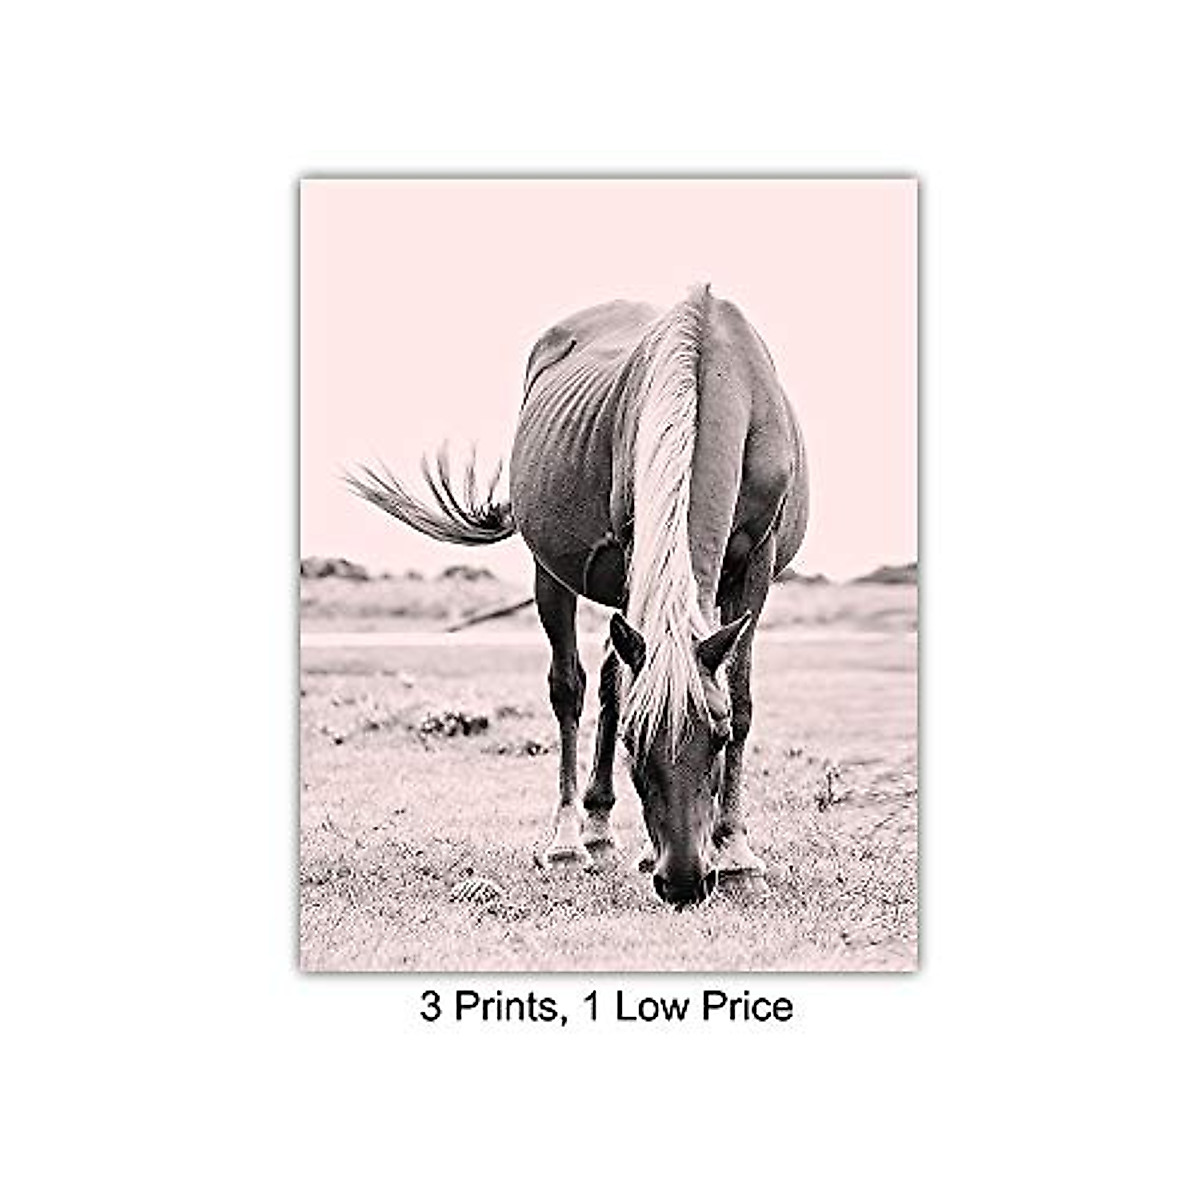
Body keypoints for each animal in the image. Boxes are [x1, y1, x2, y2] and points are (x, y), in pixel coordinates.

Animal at [348, 284, 808, 907]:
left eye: (714, 739)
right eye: (636, 742)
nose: (683, 881)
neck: (712, 371)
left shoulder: (756, 567)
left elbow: (740, 700)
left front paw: (736, 854)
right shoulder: (635, 547)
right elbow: (605, 693)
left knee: (615, 674)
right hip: (552, 574)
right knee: (573, 688)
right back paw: (574, 839)